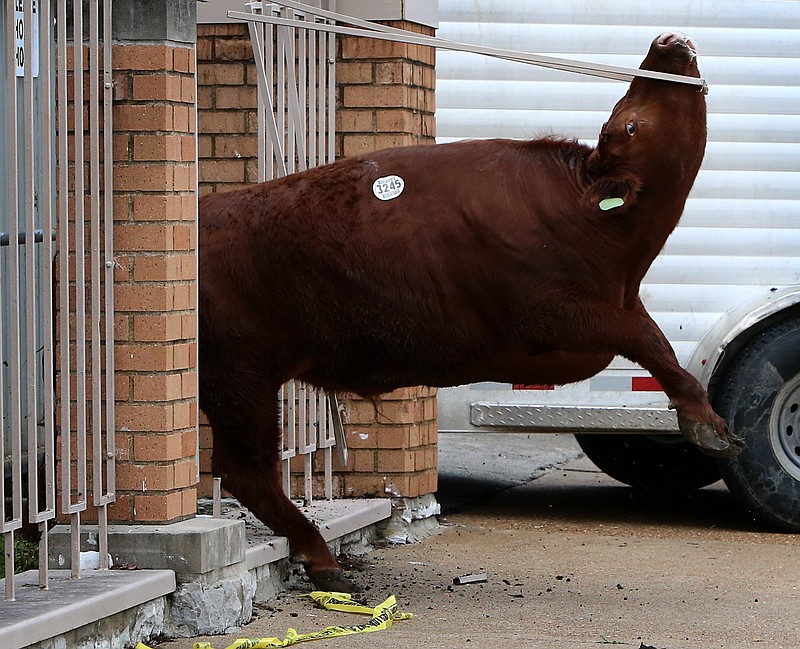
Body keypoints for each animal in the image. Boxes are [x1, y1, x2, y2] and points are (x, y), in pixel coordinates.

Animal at [198, 32, 741, 592]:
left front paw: (709, 421)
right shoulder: (551, 316)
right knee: (244, 467)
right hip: (242, 372)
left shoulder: (618, 305)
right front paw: (709, 426)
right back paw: (323, 559)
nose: (666, 41)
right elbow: (647, 341)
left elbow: (657, 340)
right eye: (627, 122)